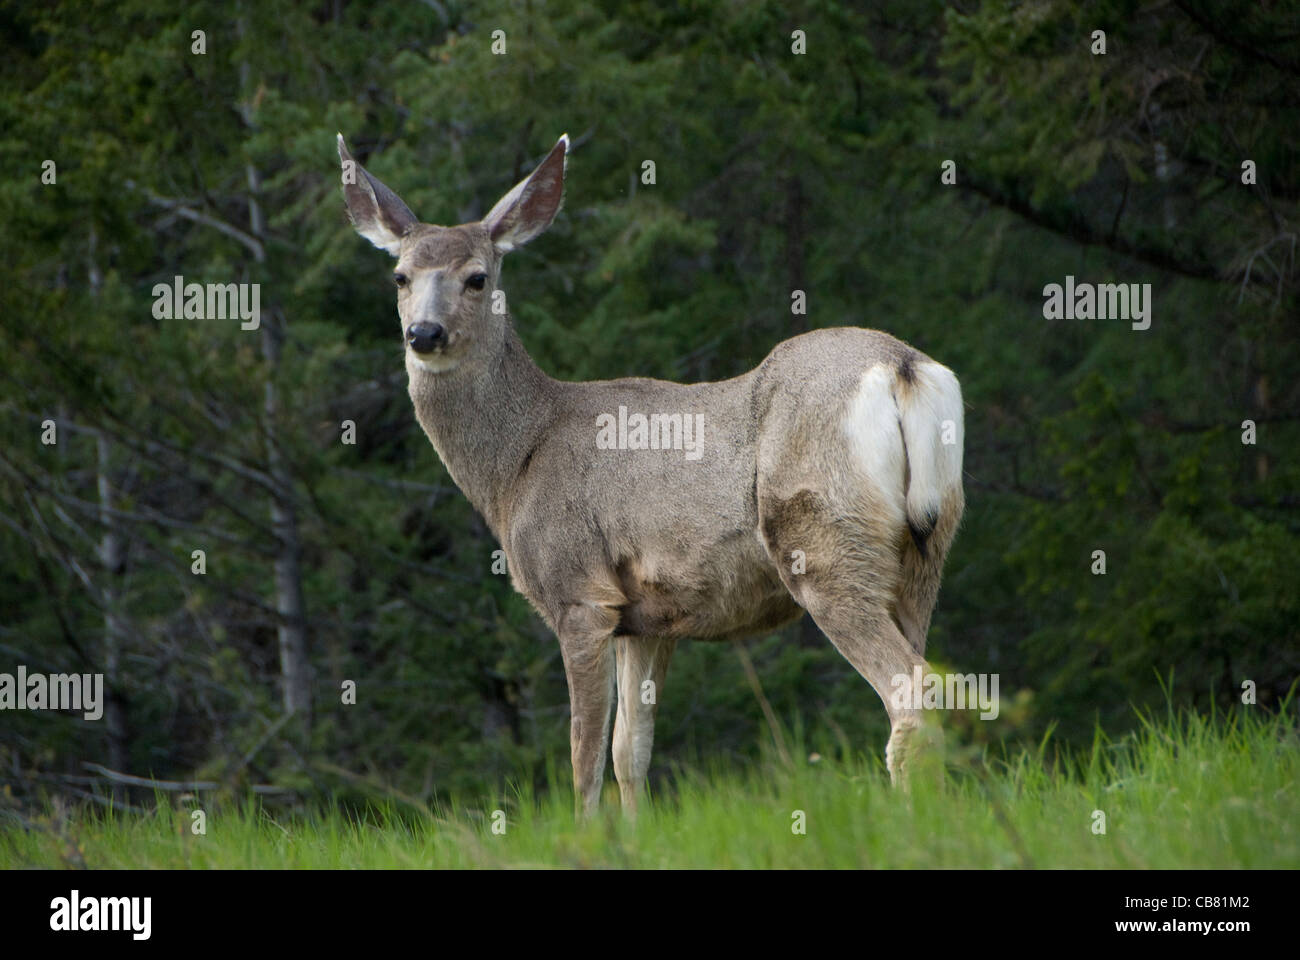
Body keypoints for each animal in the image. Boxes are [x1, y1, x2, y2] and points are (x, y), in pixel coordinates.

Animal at [337, 133, 965, 817]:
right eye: (400, 275)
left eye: (477, 277)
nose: (423, 333)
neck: (516, 465)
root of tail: (902, 369)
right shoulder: (647, 617)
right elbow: (629, 754)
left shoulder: (579, 592)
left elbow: (585, 757)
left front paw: (585, 832)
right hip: (925, 549)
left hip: (824, 537)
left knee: (911, 691)